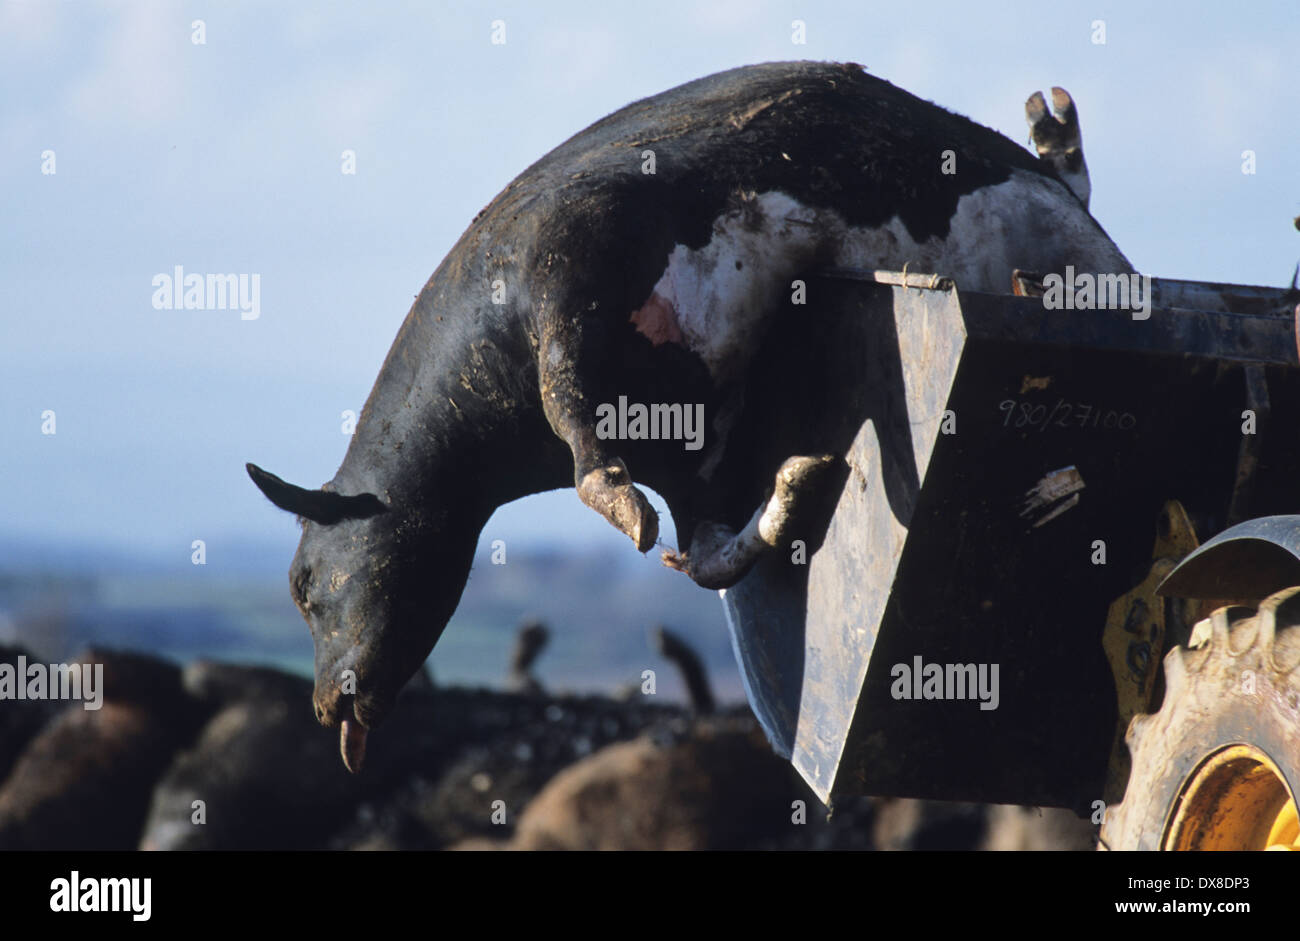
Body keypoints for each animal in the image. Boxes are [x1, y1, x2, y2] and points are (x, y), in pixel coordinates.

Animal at [247, 61, 1132, 772]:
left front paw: (622, 502)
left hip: (1079, 244)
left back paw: (1056, 131)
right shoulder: (699, 452)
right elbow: (708, 557)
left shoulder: (566, 270)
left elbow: (579, 432)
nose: (326, 705)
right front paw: (791, 493)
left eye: (301, 584)